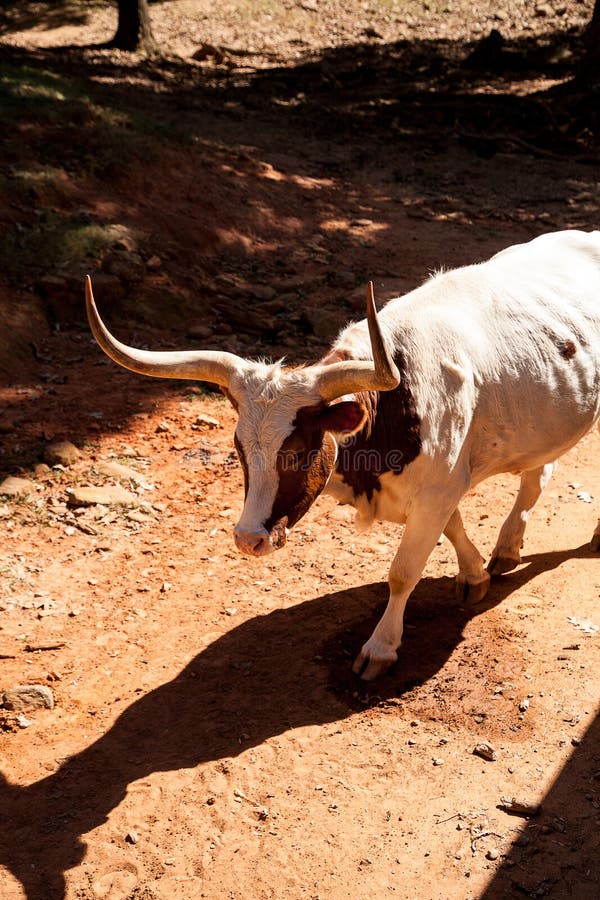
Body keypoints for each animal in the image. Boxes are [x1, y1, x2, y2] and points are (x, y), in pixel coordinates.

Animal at [86, 230, 600, 680]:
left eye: (297, 451)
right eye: (238, 447)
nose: (248, 540)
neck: (394, 406)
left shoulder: (438, 488)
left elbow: (403, 572)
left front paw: (380, 649)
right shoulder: (440, 490)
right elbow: (453, 529)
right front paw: (474, 575)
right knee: (537, 474)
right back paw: (508, 547)